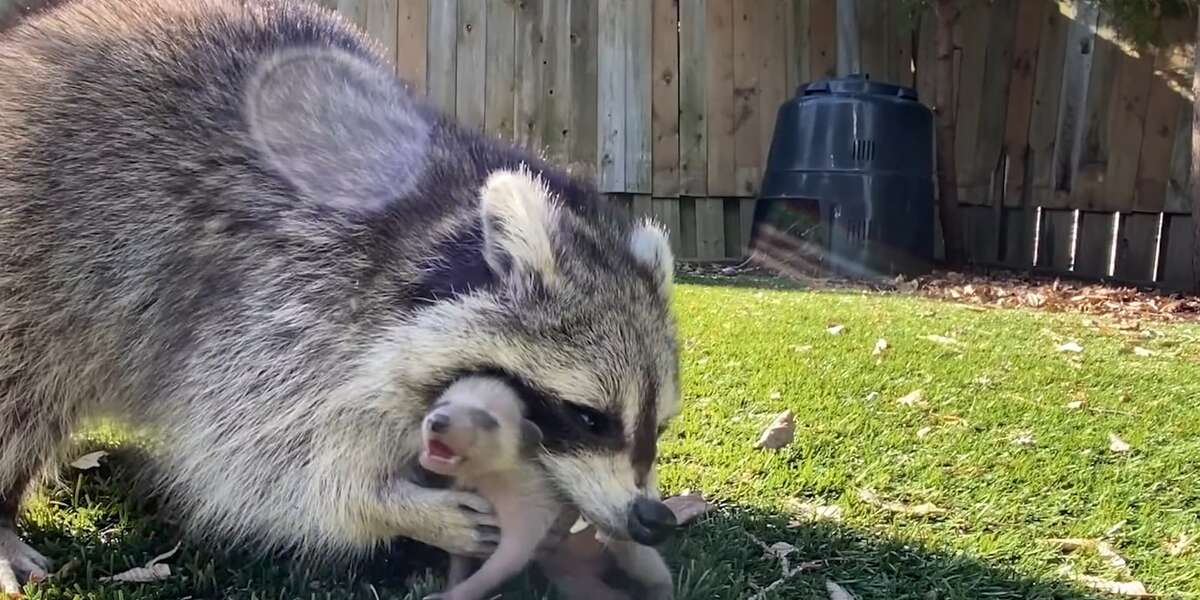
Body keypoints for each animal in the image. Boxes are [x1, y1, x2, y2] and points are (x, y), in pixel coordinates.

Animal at [0, 0, 681, 594]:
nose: (653, 520)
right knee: (22, 390)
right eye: (589, 417)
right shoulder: (279, 295)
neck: (434, 222)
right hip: (37, 258)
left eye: (659, 425)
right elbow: (249, 454)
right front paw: (384, 507)